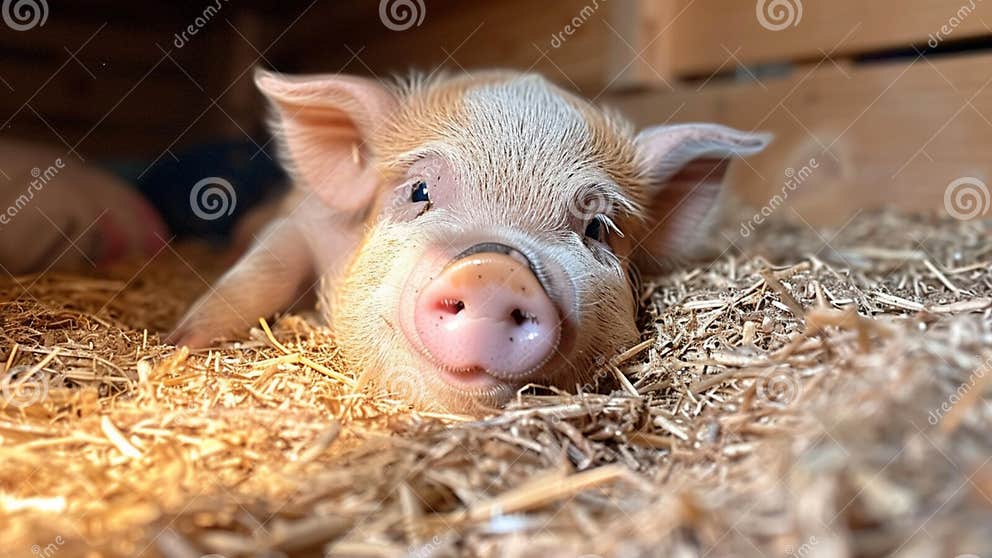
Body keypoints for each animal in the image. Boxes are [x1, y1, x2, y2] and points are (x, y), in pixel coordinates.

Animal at [169, 69, 769, 413]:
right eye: (419, 191)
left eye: (597, 227)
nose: (496, 270)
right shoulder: (302, 221)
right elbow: (268, 267)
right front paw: (182, 344)